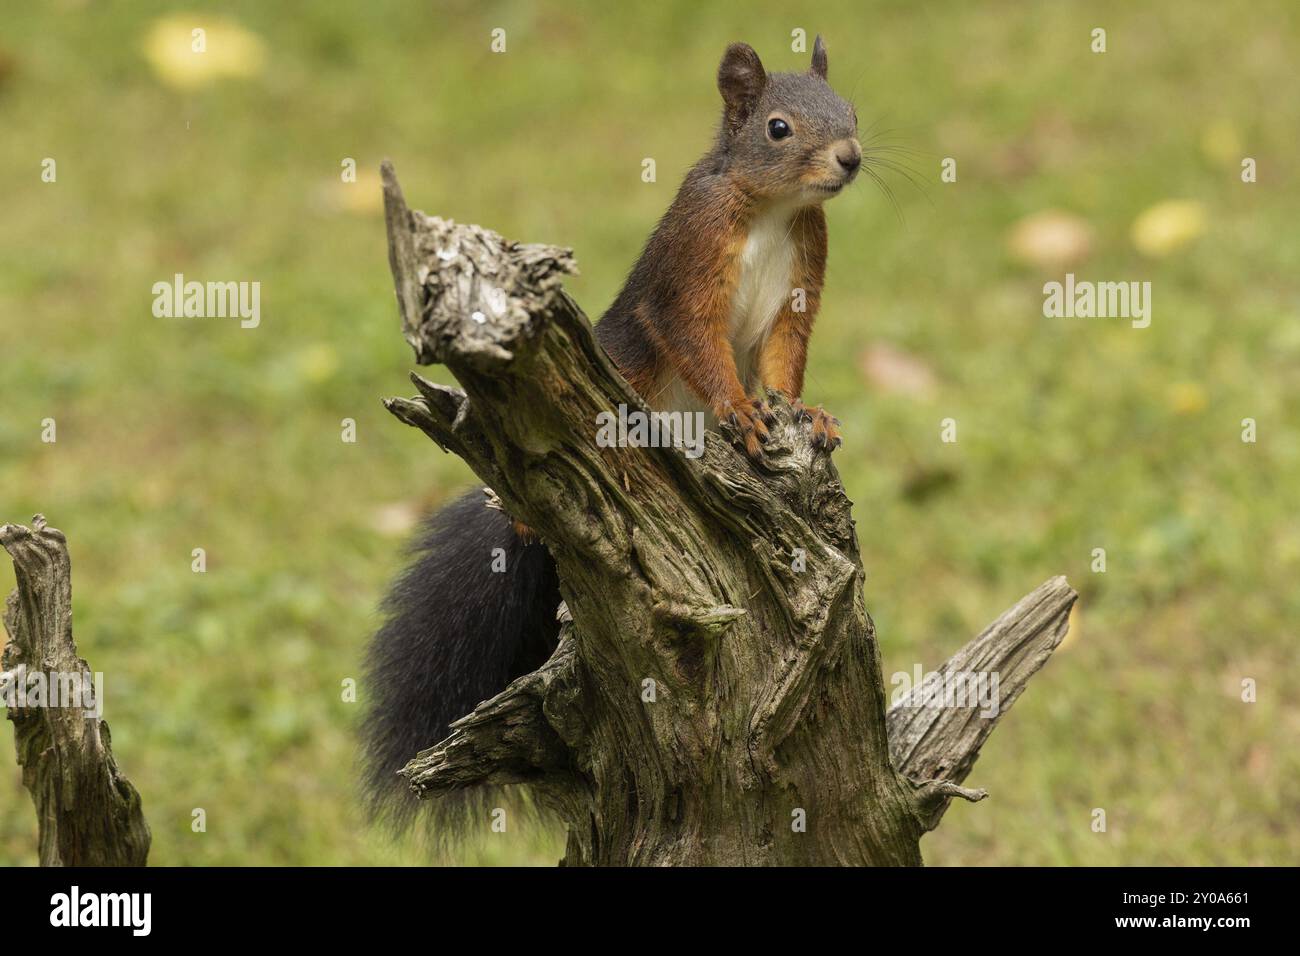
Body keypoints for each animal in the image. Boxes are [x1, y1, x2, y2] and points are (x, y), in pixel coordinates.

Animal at [363, 37, 861, 830]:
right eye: (778, 128)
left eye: (851, 110)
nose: (849, 157)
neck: (773, 209)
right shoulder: (689, 268)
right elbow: (695, 341)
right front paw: (740, 412)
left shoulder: (799, 284)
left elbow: (784, 359)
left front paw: (800, 412)